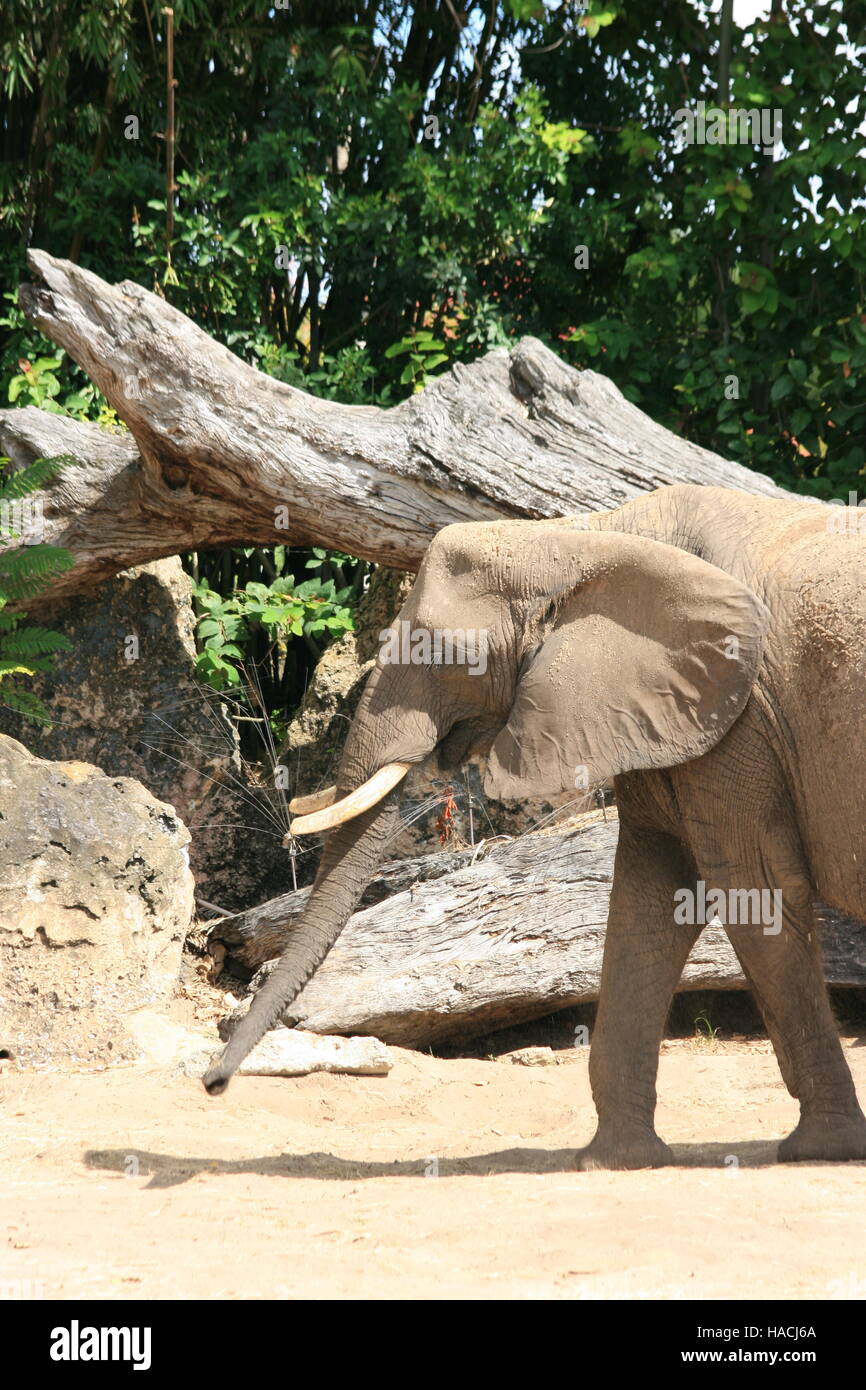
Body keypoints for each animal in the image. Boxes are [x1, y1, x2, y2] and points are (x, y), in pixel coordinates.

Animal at [204, 482, 866, 1170]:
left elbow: (755, 891)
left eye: (444, 654)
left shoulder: (743, 721)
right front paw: (615, 1161)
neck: (583, 537)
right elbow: (647, 903)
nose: (213, 1084)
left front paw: (822, 1146)